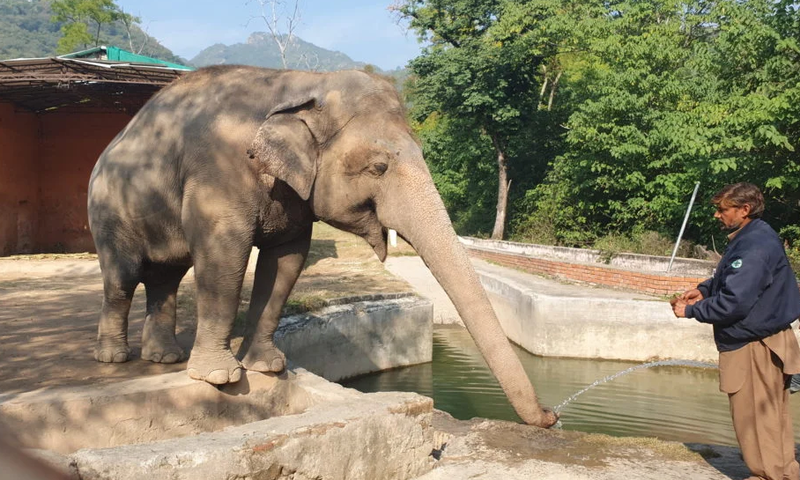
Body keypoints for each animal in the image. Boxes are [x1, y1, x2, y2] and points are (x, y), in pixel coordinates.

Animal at [87, 65, 557, 428]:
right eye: (379, 167)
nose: (552, 416)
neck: (298, 83)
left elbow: (287, 261)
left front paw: (269, 366)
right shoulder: (217, 175)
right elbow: (225, 256)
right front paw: (221, 378)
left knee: (165, 277)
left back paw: (163, 358)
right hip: (107, 211)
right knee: (123, 279)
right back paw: (114, 359)